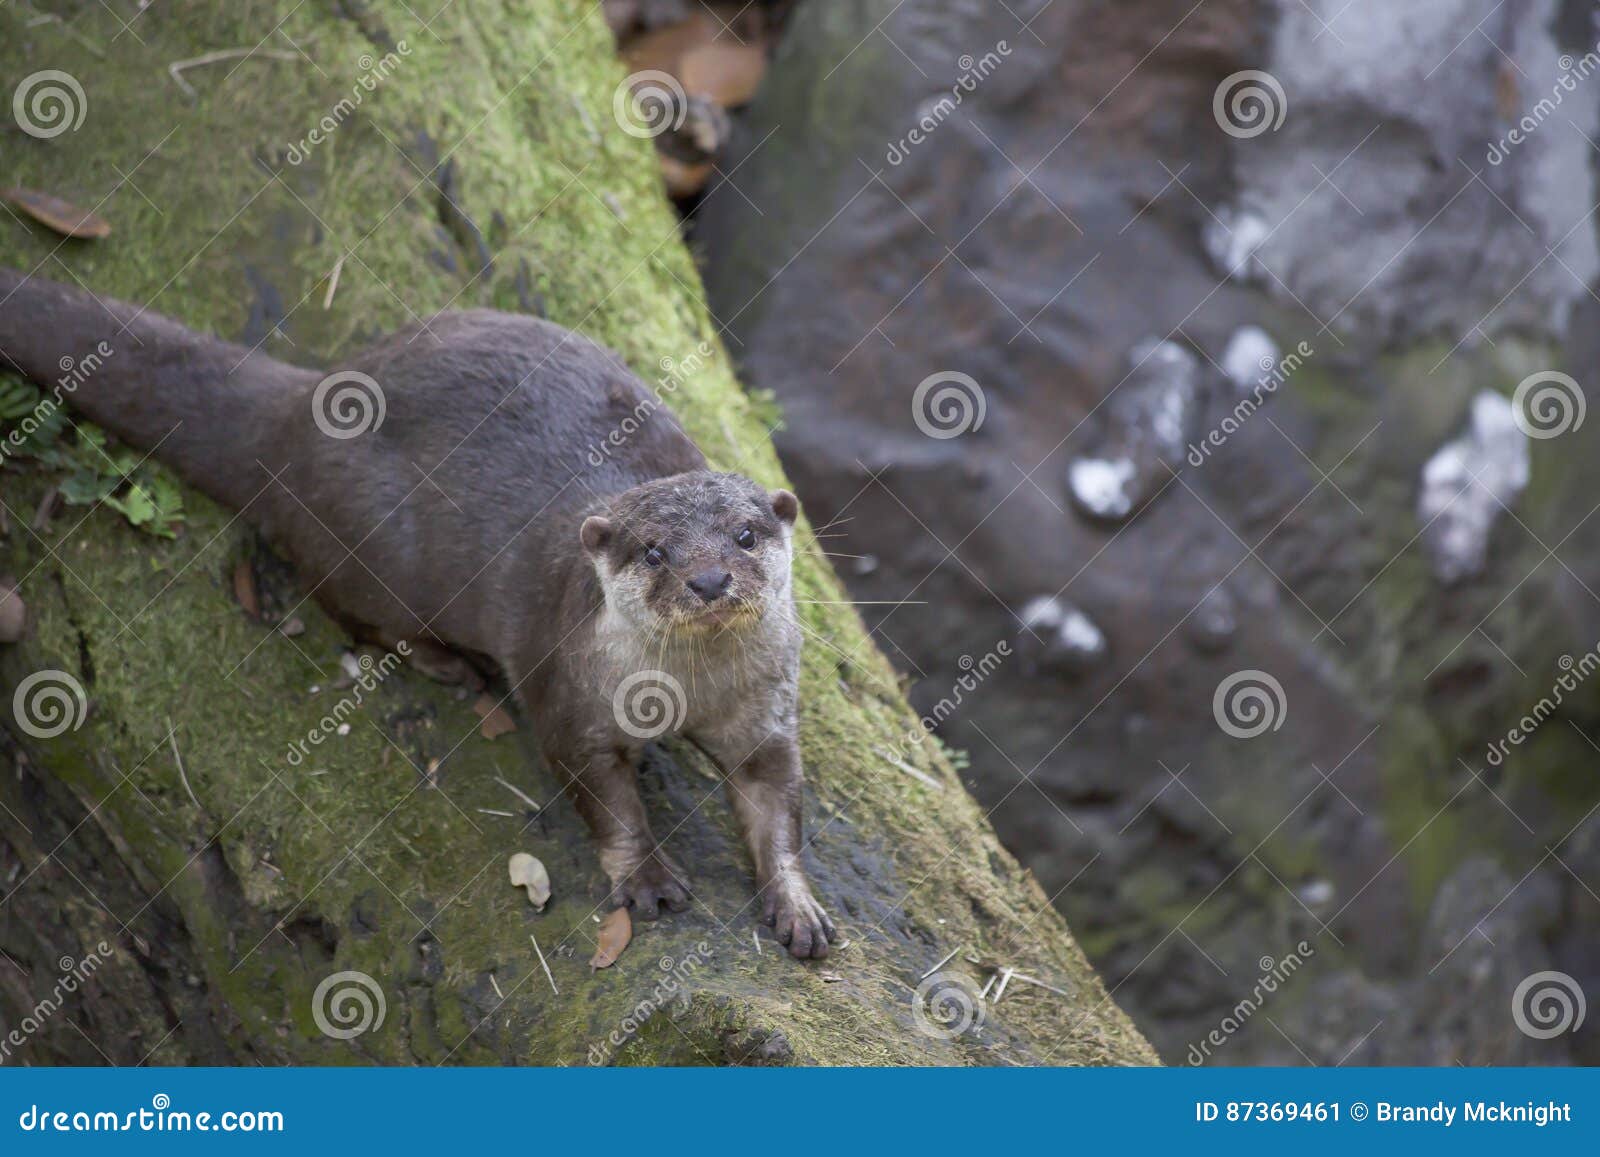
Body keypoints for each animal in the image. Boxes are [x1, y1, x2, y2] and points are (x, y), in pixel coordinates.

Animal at [0, 268, 835, 959]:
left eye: (745, 533)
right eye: (655, 550)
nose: (709, 579)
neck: (687, 693)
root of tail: (305, 406)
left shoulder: (767, 710)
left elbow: (779, 803)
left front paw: (799, 908)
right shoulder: (568, 694)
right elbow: (605, 796)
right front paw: (650, 877)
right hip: (372, 549)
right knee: (345, 606)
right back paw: (447, 662)